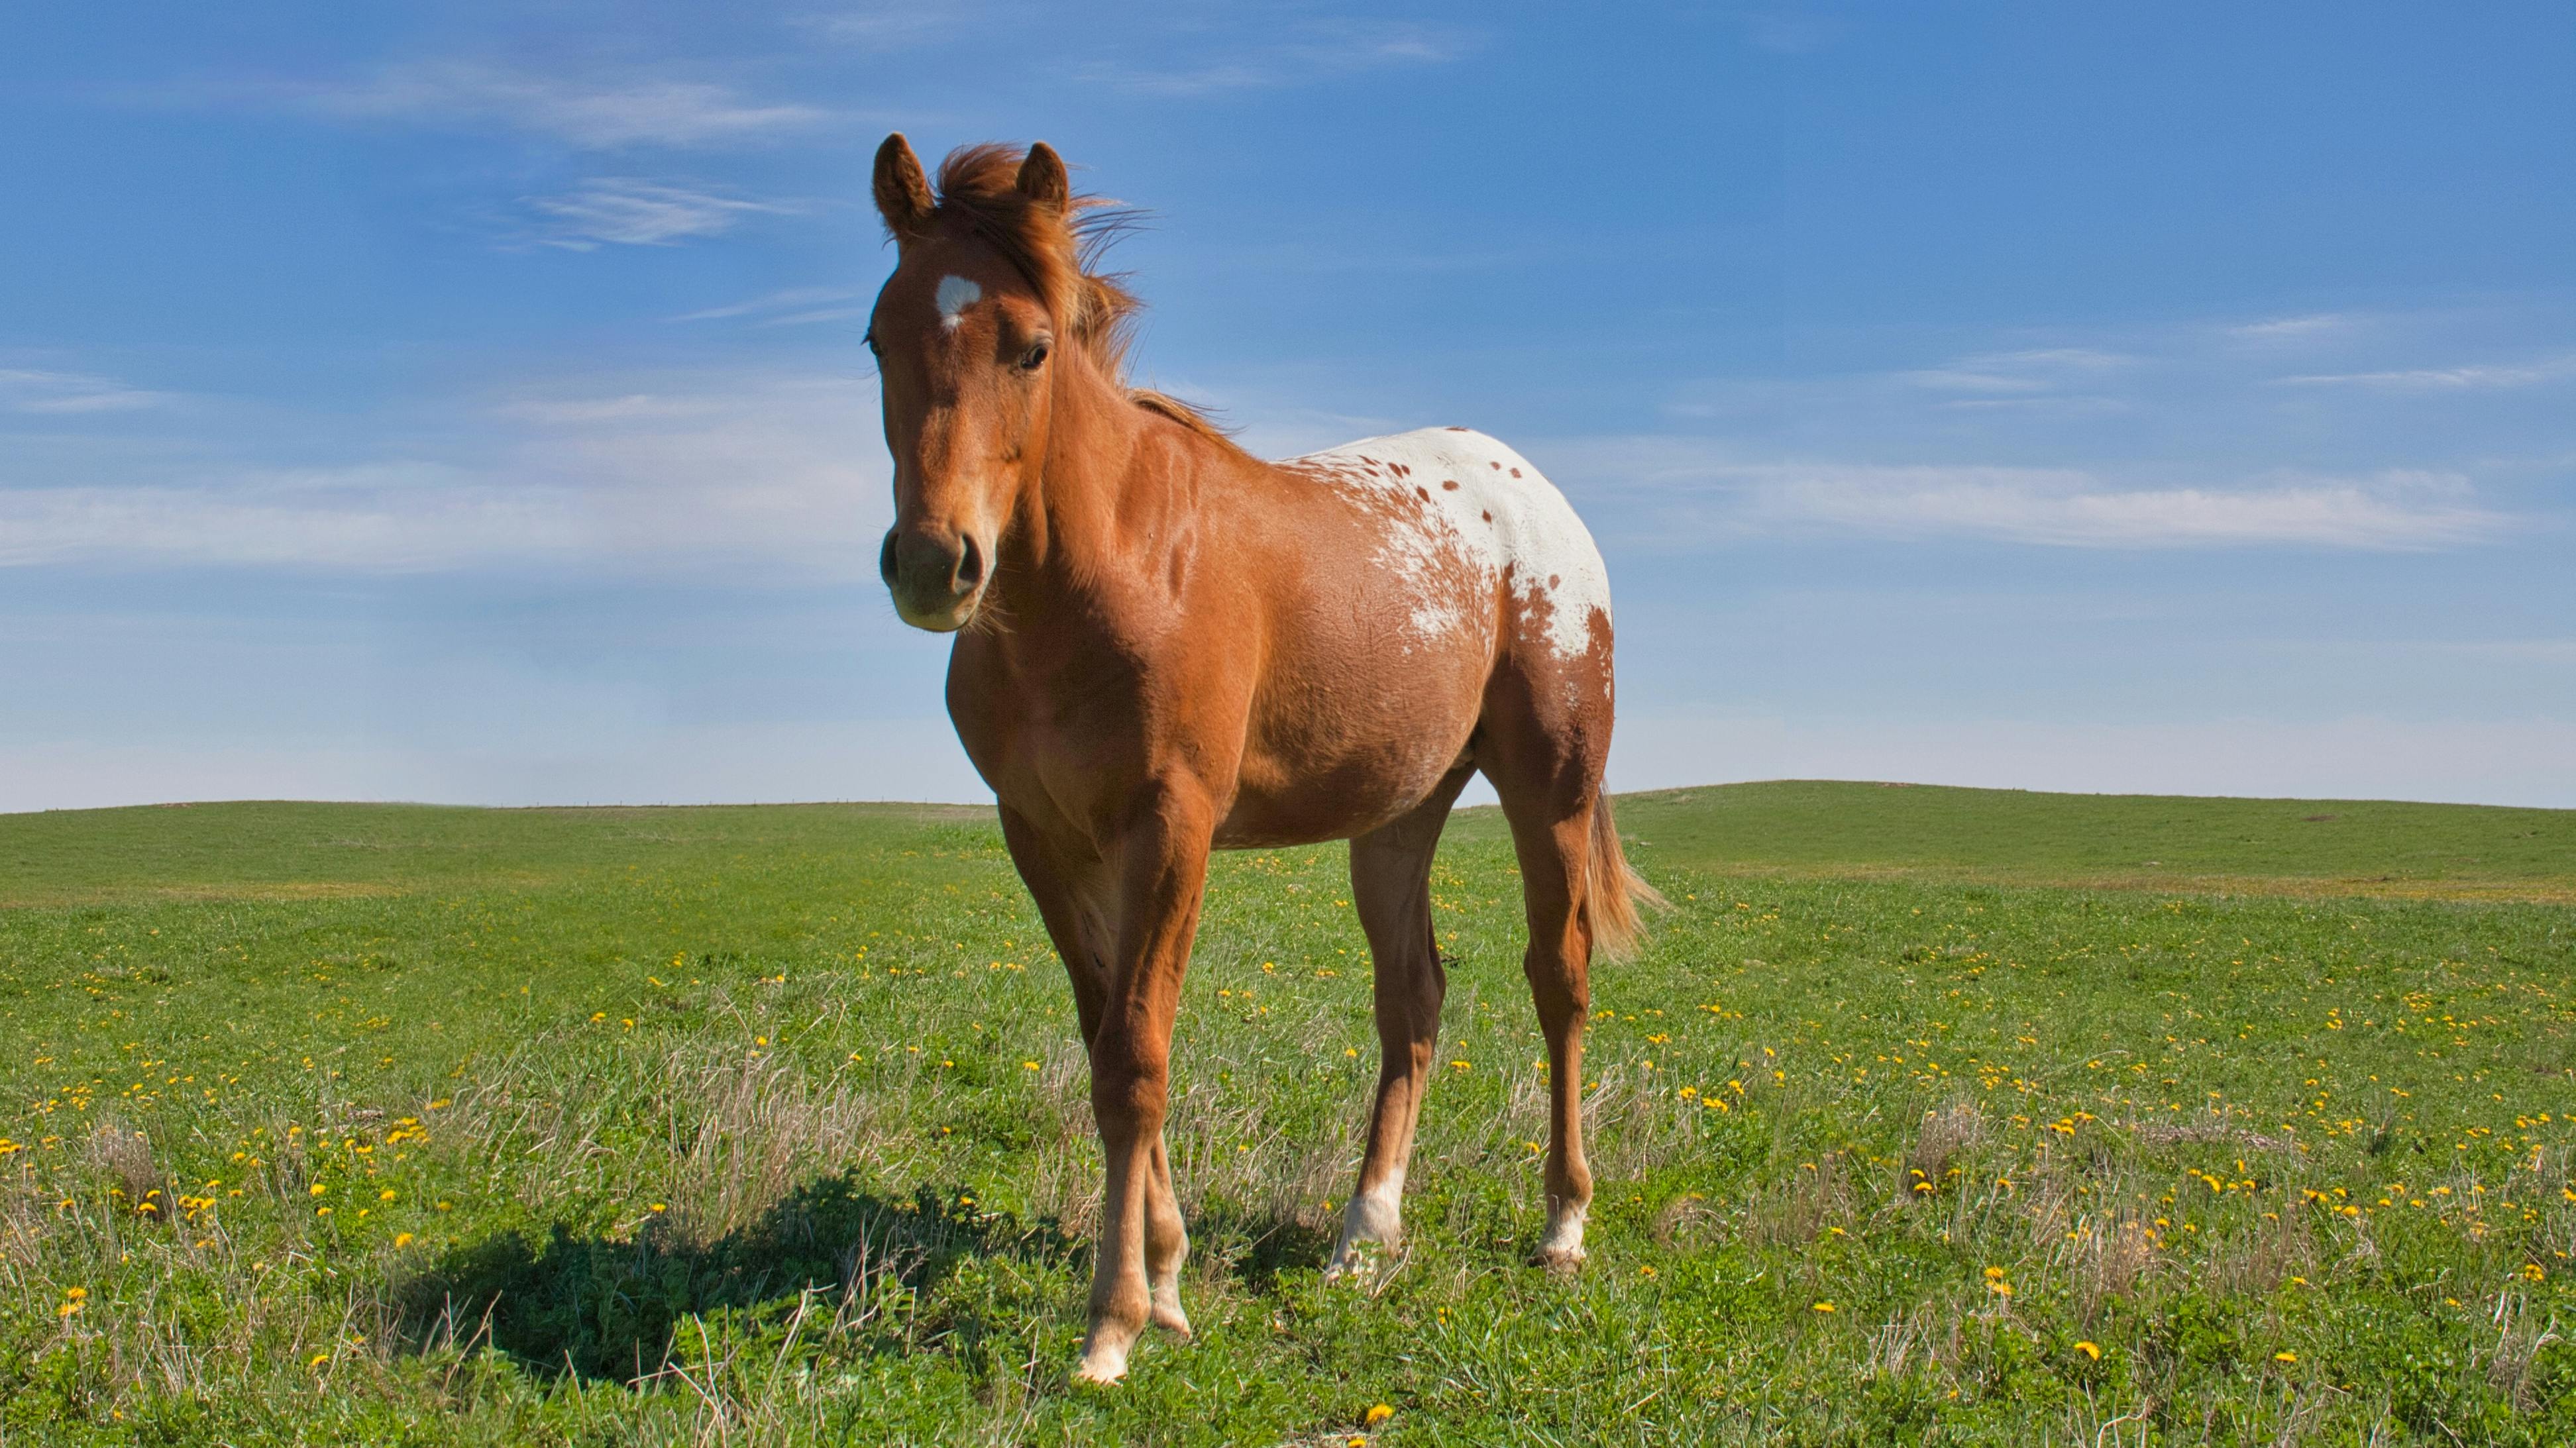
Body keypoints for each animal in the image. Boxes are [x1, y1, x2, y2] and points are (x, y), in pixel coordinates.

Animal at [863, 134, 1660, 1384]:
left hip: (1553, 790)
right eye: (878, 339)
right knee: (1412, 999)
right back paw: (1365, 1233)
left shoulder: (1170, 827)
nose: (935, 563)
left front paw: (1115, 1323)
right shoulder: (1045, 839)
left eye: (1029, 346)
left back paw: (1562, 1223)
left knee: (1559, 980)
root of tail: (1530, 488)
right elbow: (1106, 1041)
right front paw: (1169, 1279)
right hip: (1396, 817)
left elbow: (1136, 1059)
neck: (1101, 576)